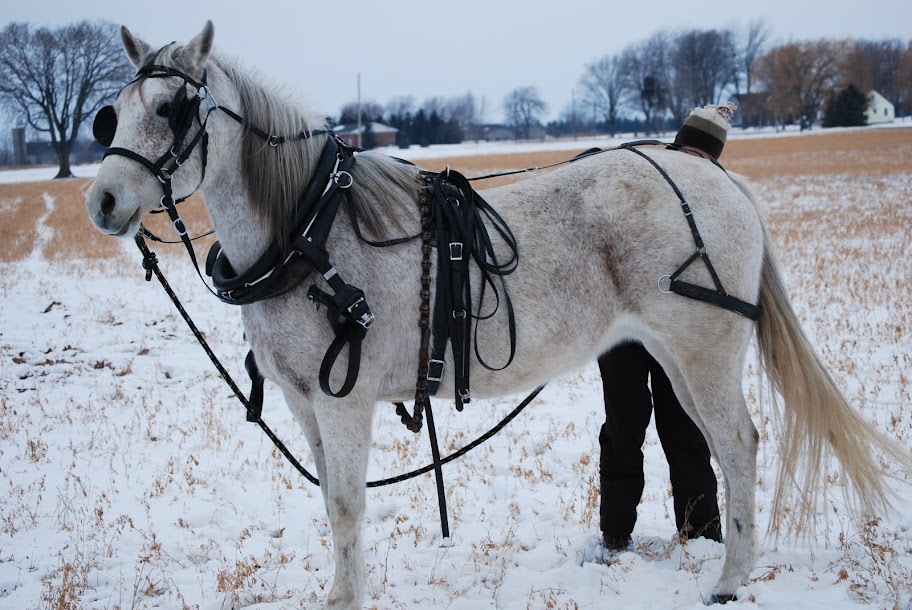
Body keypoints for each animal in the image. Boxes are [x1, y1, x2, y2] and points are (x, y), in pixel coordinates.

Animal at [85, 21, 909, 609]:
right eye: (113, 115)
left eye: (171, 108)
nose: (103, 202)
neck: (311, 234)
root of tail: (710, 171)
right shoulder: (303, 405)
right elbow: (330, 504)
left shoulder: (345, 400)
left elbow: (348, 506)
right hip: (668, 357)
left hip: (702, 352)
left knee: (736, 446)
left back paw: (731, 579)